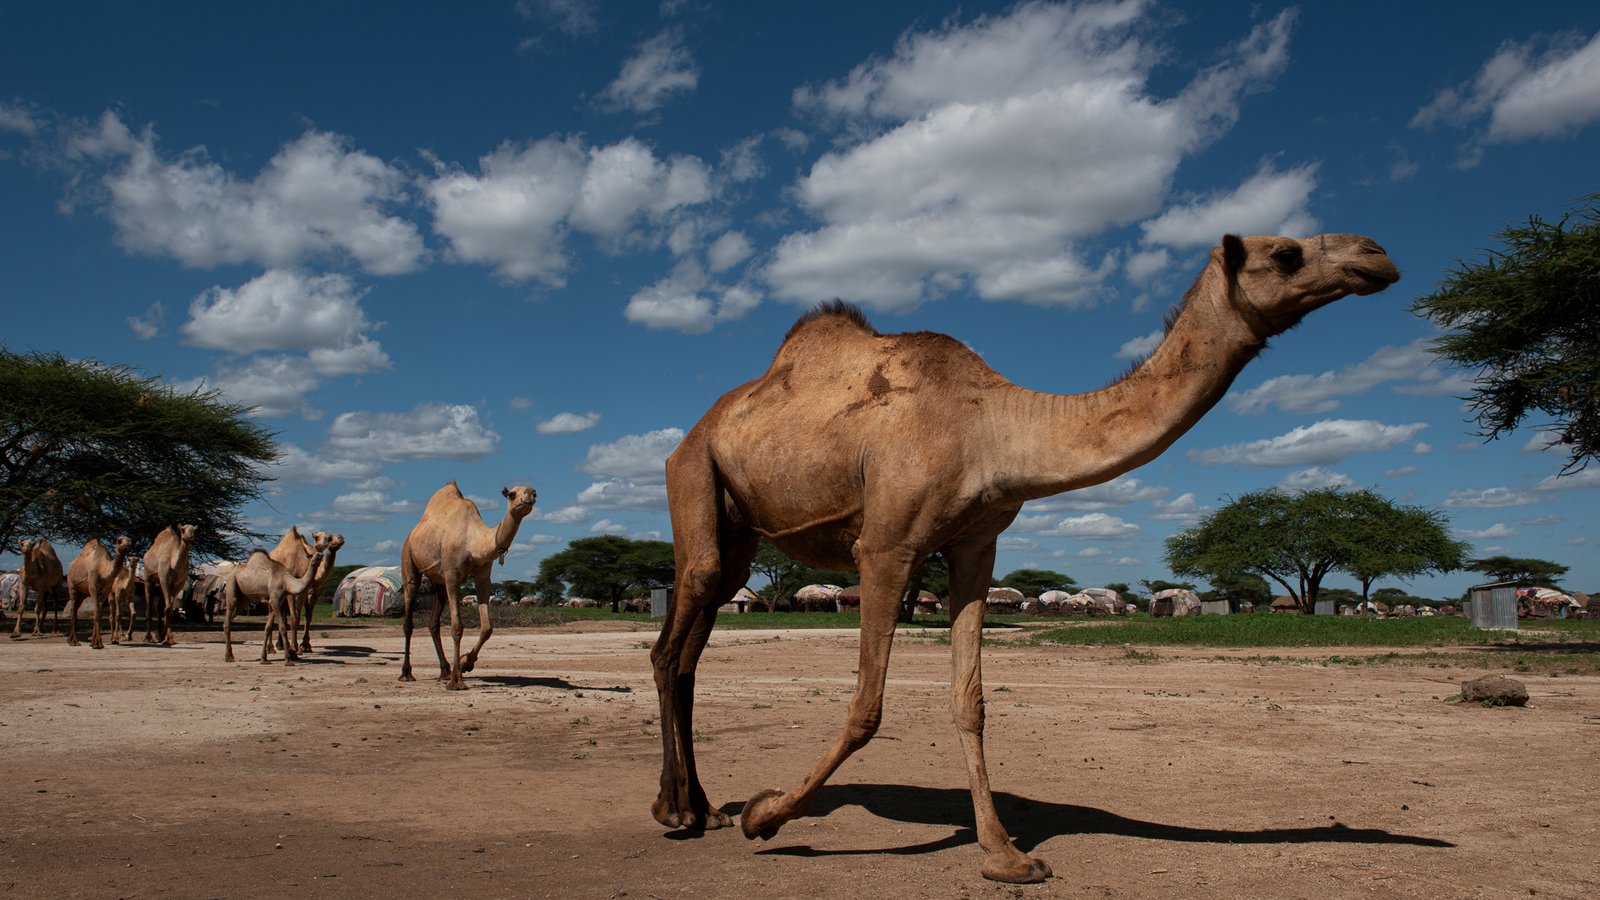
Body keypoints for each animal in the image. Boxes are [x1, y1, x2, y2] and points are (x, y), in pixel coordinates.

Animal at [399, 482, 537, 690]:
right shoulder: (452, 575)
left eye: (535, 492)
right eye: (511, 494)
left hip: (438, 581)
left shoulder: (483, 577)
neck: (473, 542)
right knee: (409, 614)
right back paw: (407, 673)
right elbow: (457, 626)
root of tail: (412, 533)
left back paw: (445, 671)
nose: (529, 495)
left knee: (433, 623)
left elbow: (487, 628)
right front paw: (457, 682)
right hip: (408, 556)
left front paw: (465, 663)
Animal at [650, 233, 1400, 882]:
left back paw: (698, 808)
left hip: (740, 530)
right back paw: (684, 813)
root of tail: (698, 426)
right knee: (676, 635)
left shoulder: (975, 545)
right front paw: (766, 815)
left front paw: (1006, 855)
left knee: (691, 649)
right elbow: (867, 705)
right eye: (1286, 251)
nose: (1377, 254)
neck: (991, 428)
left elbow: (970, 700)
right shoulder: (887, 544)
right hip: (694, 474)